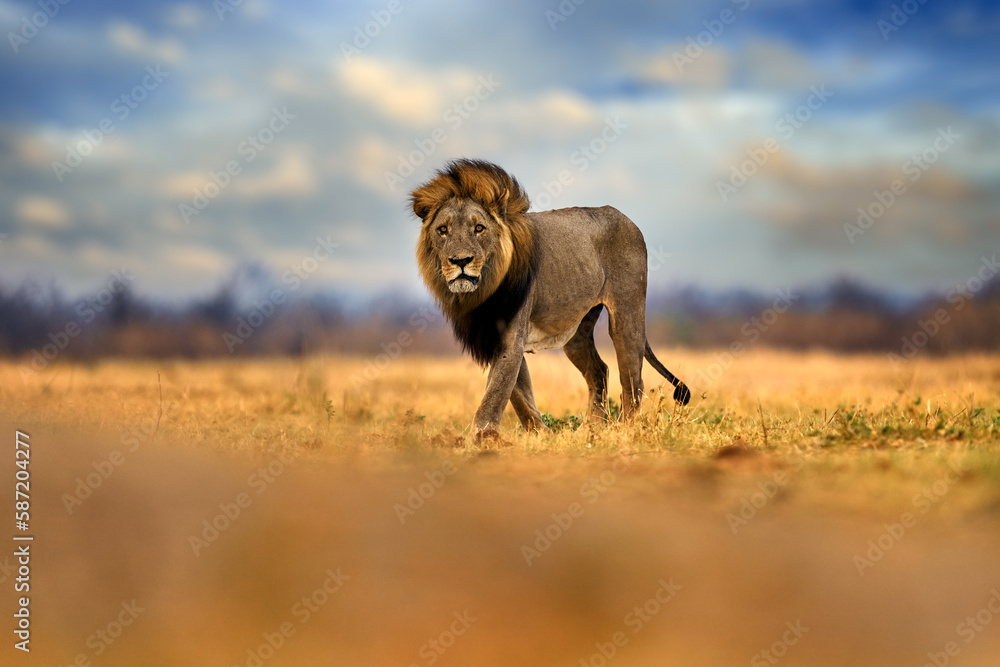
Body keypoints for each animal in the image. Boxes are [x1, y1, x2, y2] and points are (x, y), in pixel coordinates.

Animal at [411, 159, 690, 436]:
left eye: (479, 228)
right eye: (442, 230)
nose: (460, 261)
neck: (480, 293)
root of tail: (627, 219)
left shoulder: (510, 339)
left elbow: (496, 392)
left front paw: (480, 437)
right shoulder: (493, 339)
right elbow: (517, 392)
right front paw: (539, 432)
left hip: (627, 316)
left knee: (633, 379)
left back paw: (622, 431)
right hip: (577, 333)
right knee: (599, 371)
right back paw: (589, 430)